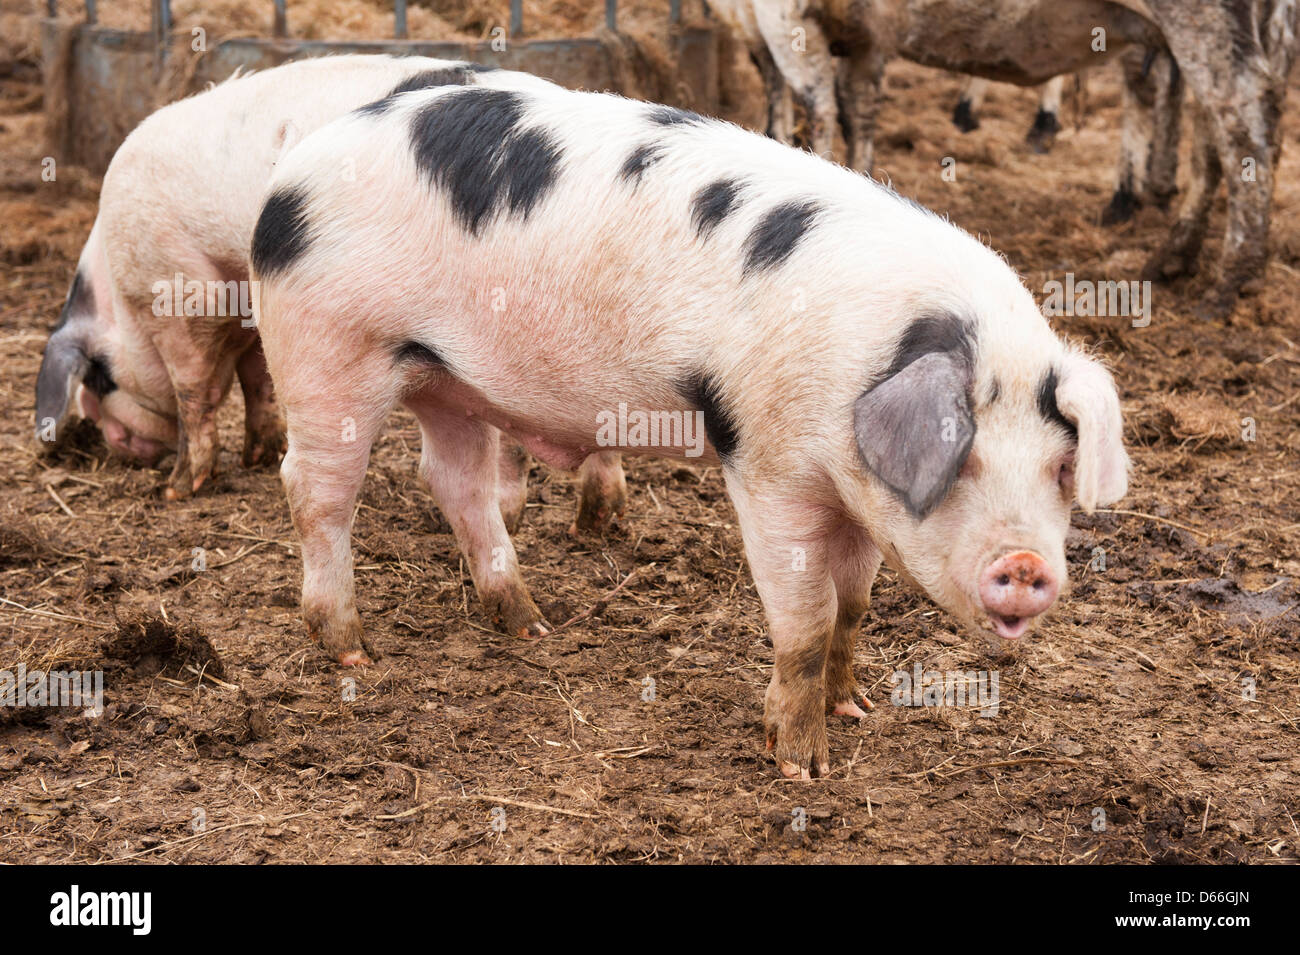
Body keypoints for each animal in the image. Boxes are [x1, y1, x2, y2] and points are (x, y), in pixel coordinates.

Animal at [33, 53, 625, 531]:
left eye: (98, 378)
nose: (120, 448)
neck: (117, 289)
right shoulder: (257, 297)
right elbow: (258, 378)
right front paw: (259, 454)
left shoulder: (180, 288)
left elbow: (194, 390)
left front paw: (178, 489)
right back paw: (595, 523)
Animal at [250, 83, 1129, 777]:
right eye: (964, 460)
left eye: (1059, 469)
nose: (1024, 563)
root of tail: (288, 179)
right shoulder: (769, 465)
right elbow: (808, 619)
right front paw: (802, 765)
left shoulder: (853, 492)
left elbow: (853, 605)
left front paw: (855, 708)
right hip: (332, 348)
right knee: (315, 489)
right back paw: (352, 648)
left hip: (448, 381)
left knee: (455, 482)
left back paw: (532, 623)